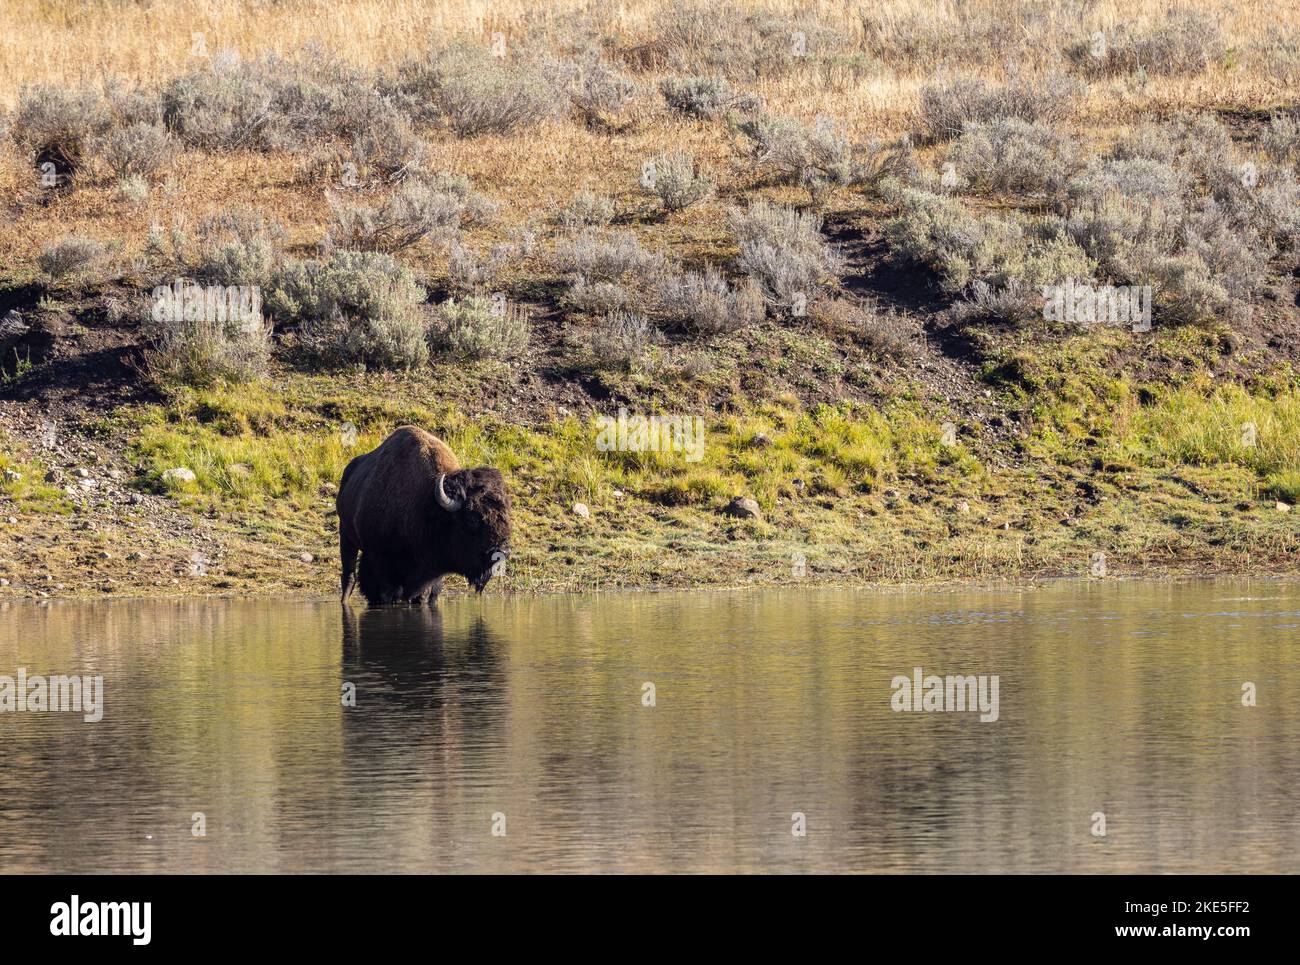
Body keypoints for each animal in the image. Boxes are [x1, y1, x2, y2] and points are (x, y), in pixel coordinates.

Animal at [336, 426, 512, 605]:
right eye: (471, 519)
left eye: (505, 516)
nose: (502, 552)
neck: (427, 505)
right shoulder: (381, 562)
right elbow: (386, 592)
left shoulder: (432, 573)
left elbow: (424, 594)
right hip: (346, 535)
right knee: (349, 575)